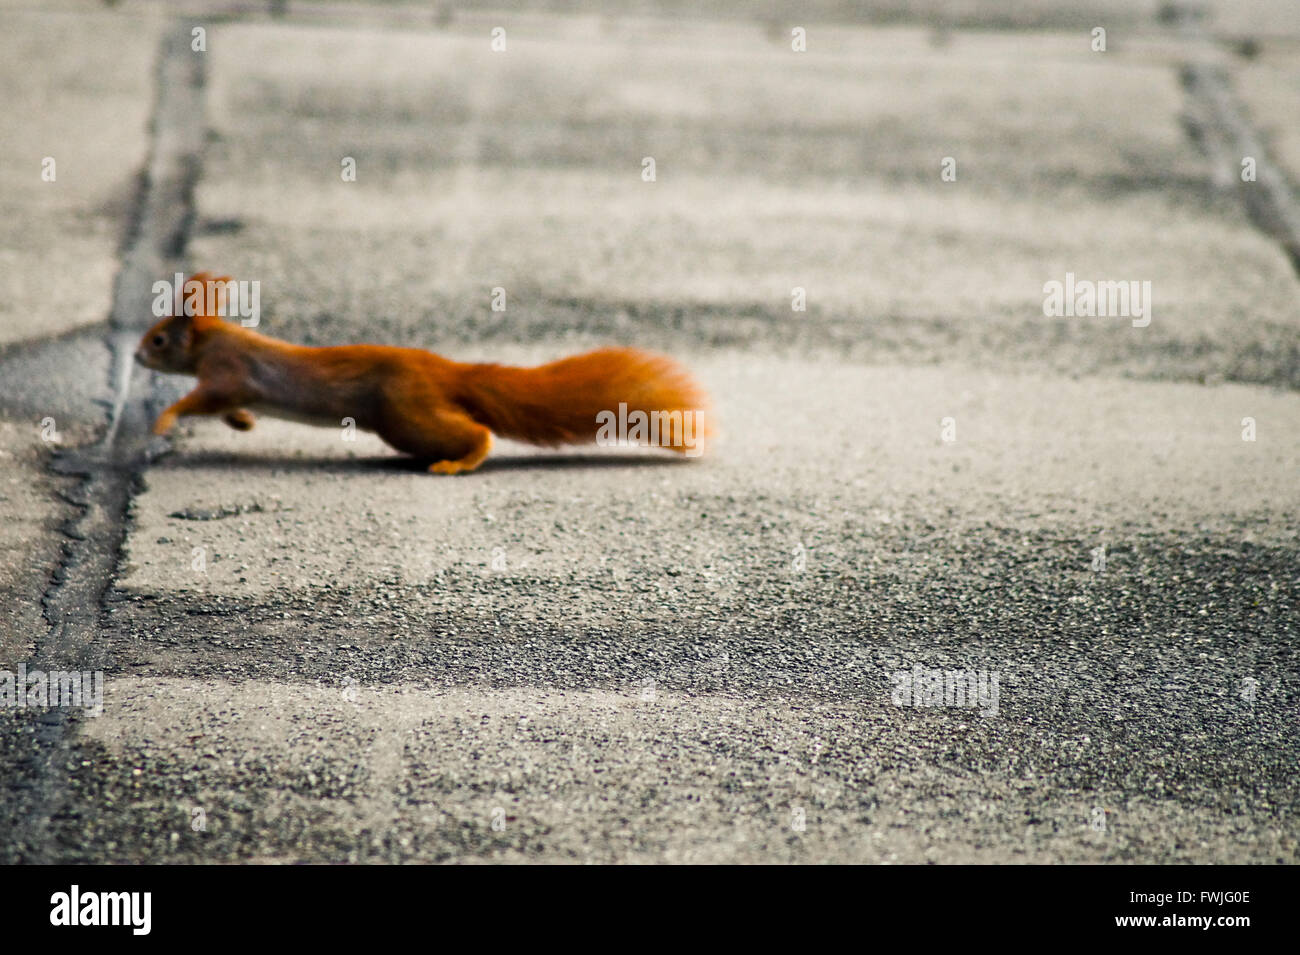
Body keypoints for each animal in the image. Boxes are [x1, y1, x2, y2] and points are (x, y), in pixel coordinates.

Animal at [134, 272, 710, 474]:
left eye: (159, 338)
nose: (137, 357)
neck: (216, 340)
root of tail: (446, 371)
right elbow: (228, 407)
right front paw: (243, 423)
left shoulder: (228, 371)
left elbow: (202, 398)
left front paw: (162, 421)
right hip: (402, 423)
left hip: (408, 413)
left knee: (476, 432)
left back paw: (459, 463)